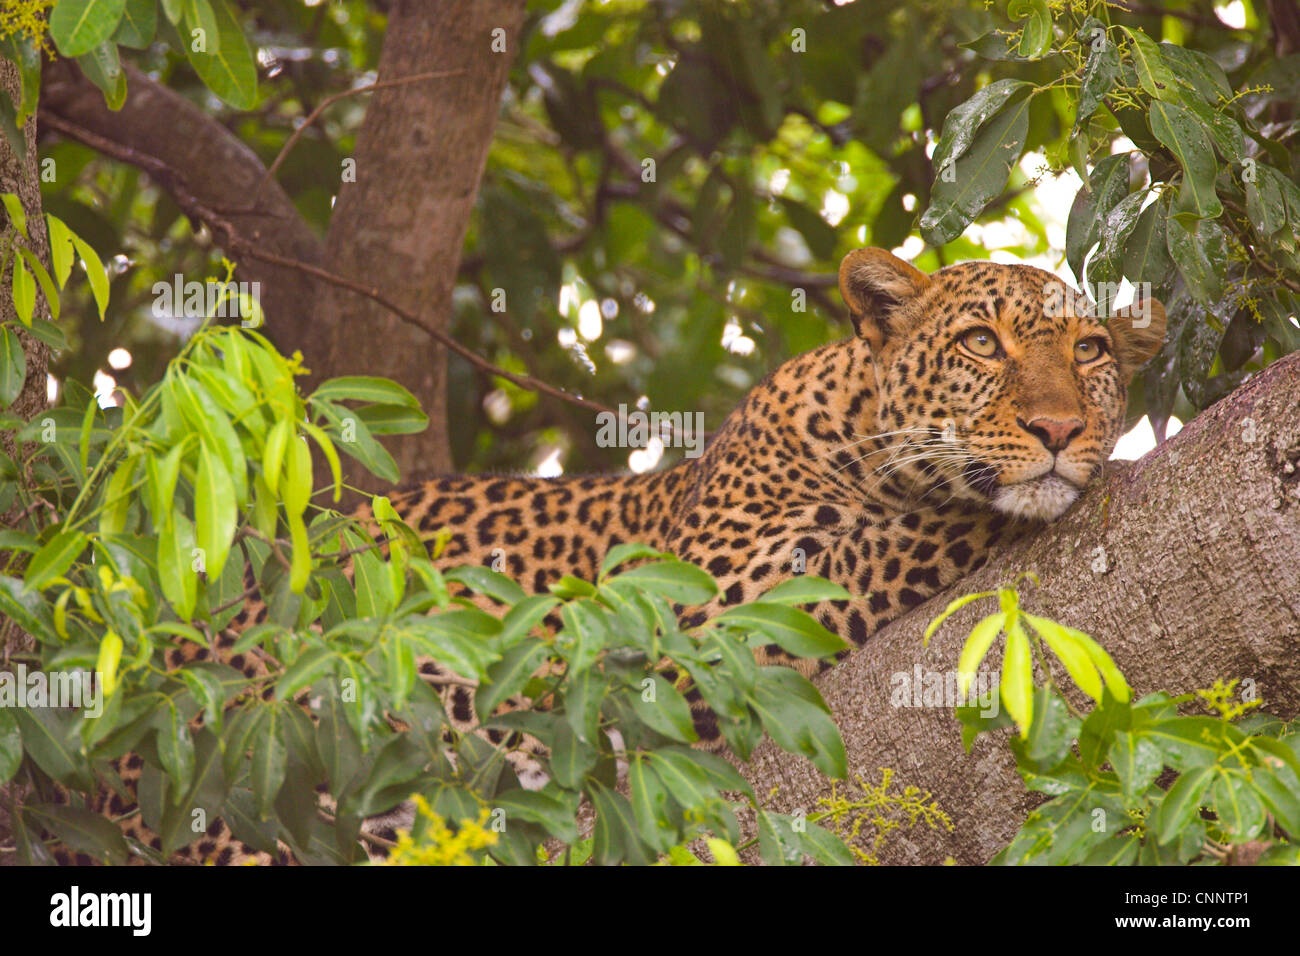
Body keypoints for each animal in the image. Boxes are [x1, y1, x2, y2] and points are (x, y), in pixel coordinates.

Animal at [58, 247, 1164, 865]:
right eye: (980, 342)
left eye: (1091, 352)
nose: (1062, 428)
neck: (851, 426)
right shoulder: (699, 619)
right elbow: (908, 533)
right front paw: (1047, 487)